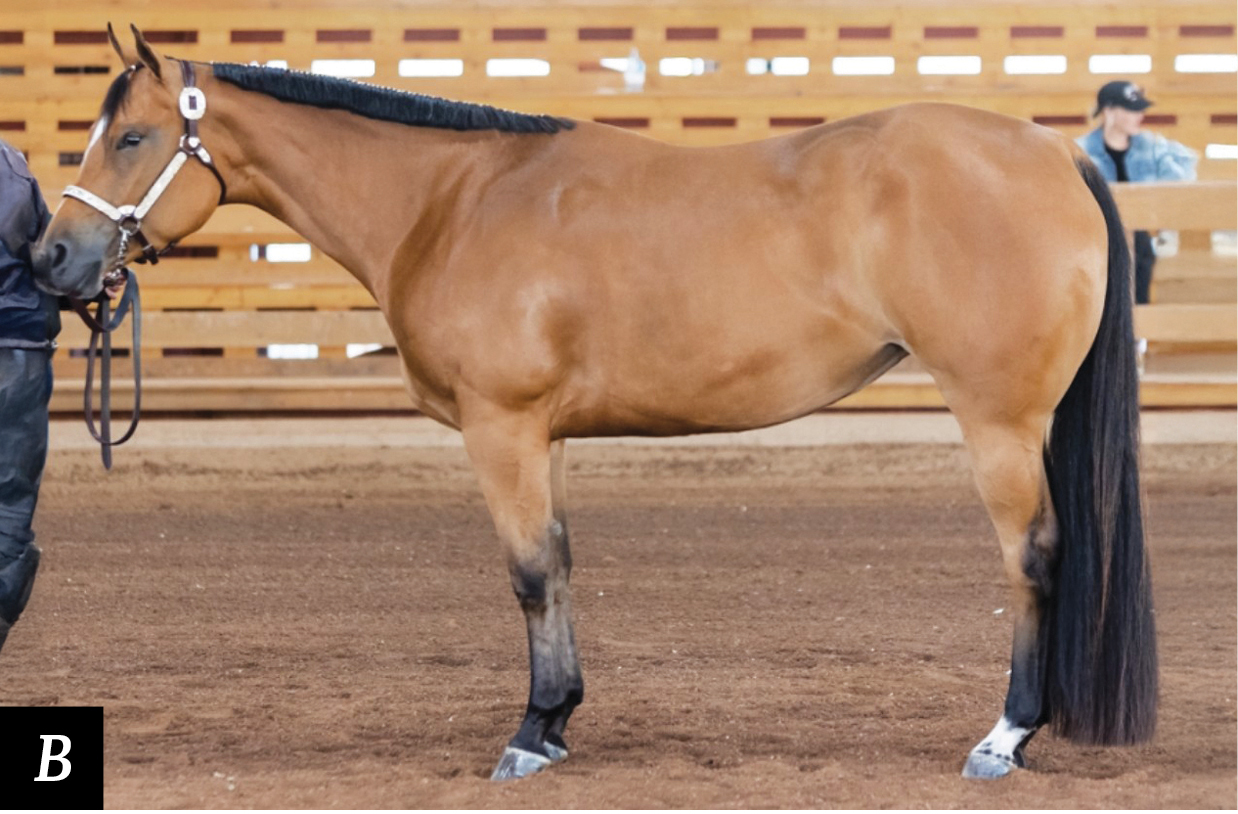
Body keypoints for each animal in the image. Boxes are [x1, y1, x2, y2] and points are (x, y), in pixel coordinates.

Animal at [33, 25, 1156, 782]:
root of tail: (1053, 149)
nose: (52, 258)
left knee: (1034, 558)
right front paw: (561, 716)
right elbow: (561, 567)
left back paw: (1005, 734)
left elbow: (529, 575)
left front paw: (530, 734)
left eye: (130, 139)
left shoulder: (502, 428)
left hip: (999, 420)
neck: (450, 202)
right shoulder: (544, 435)